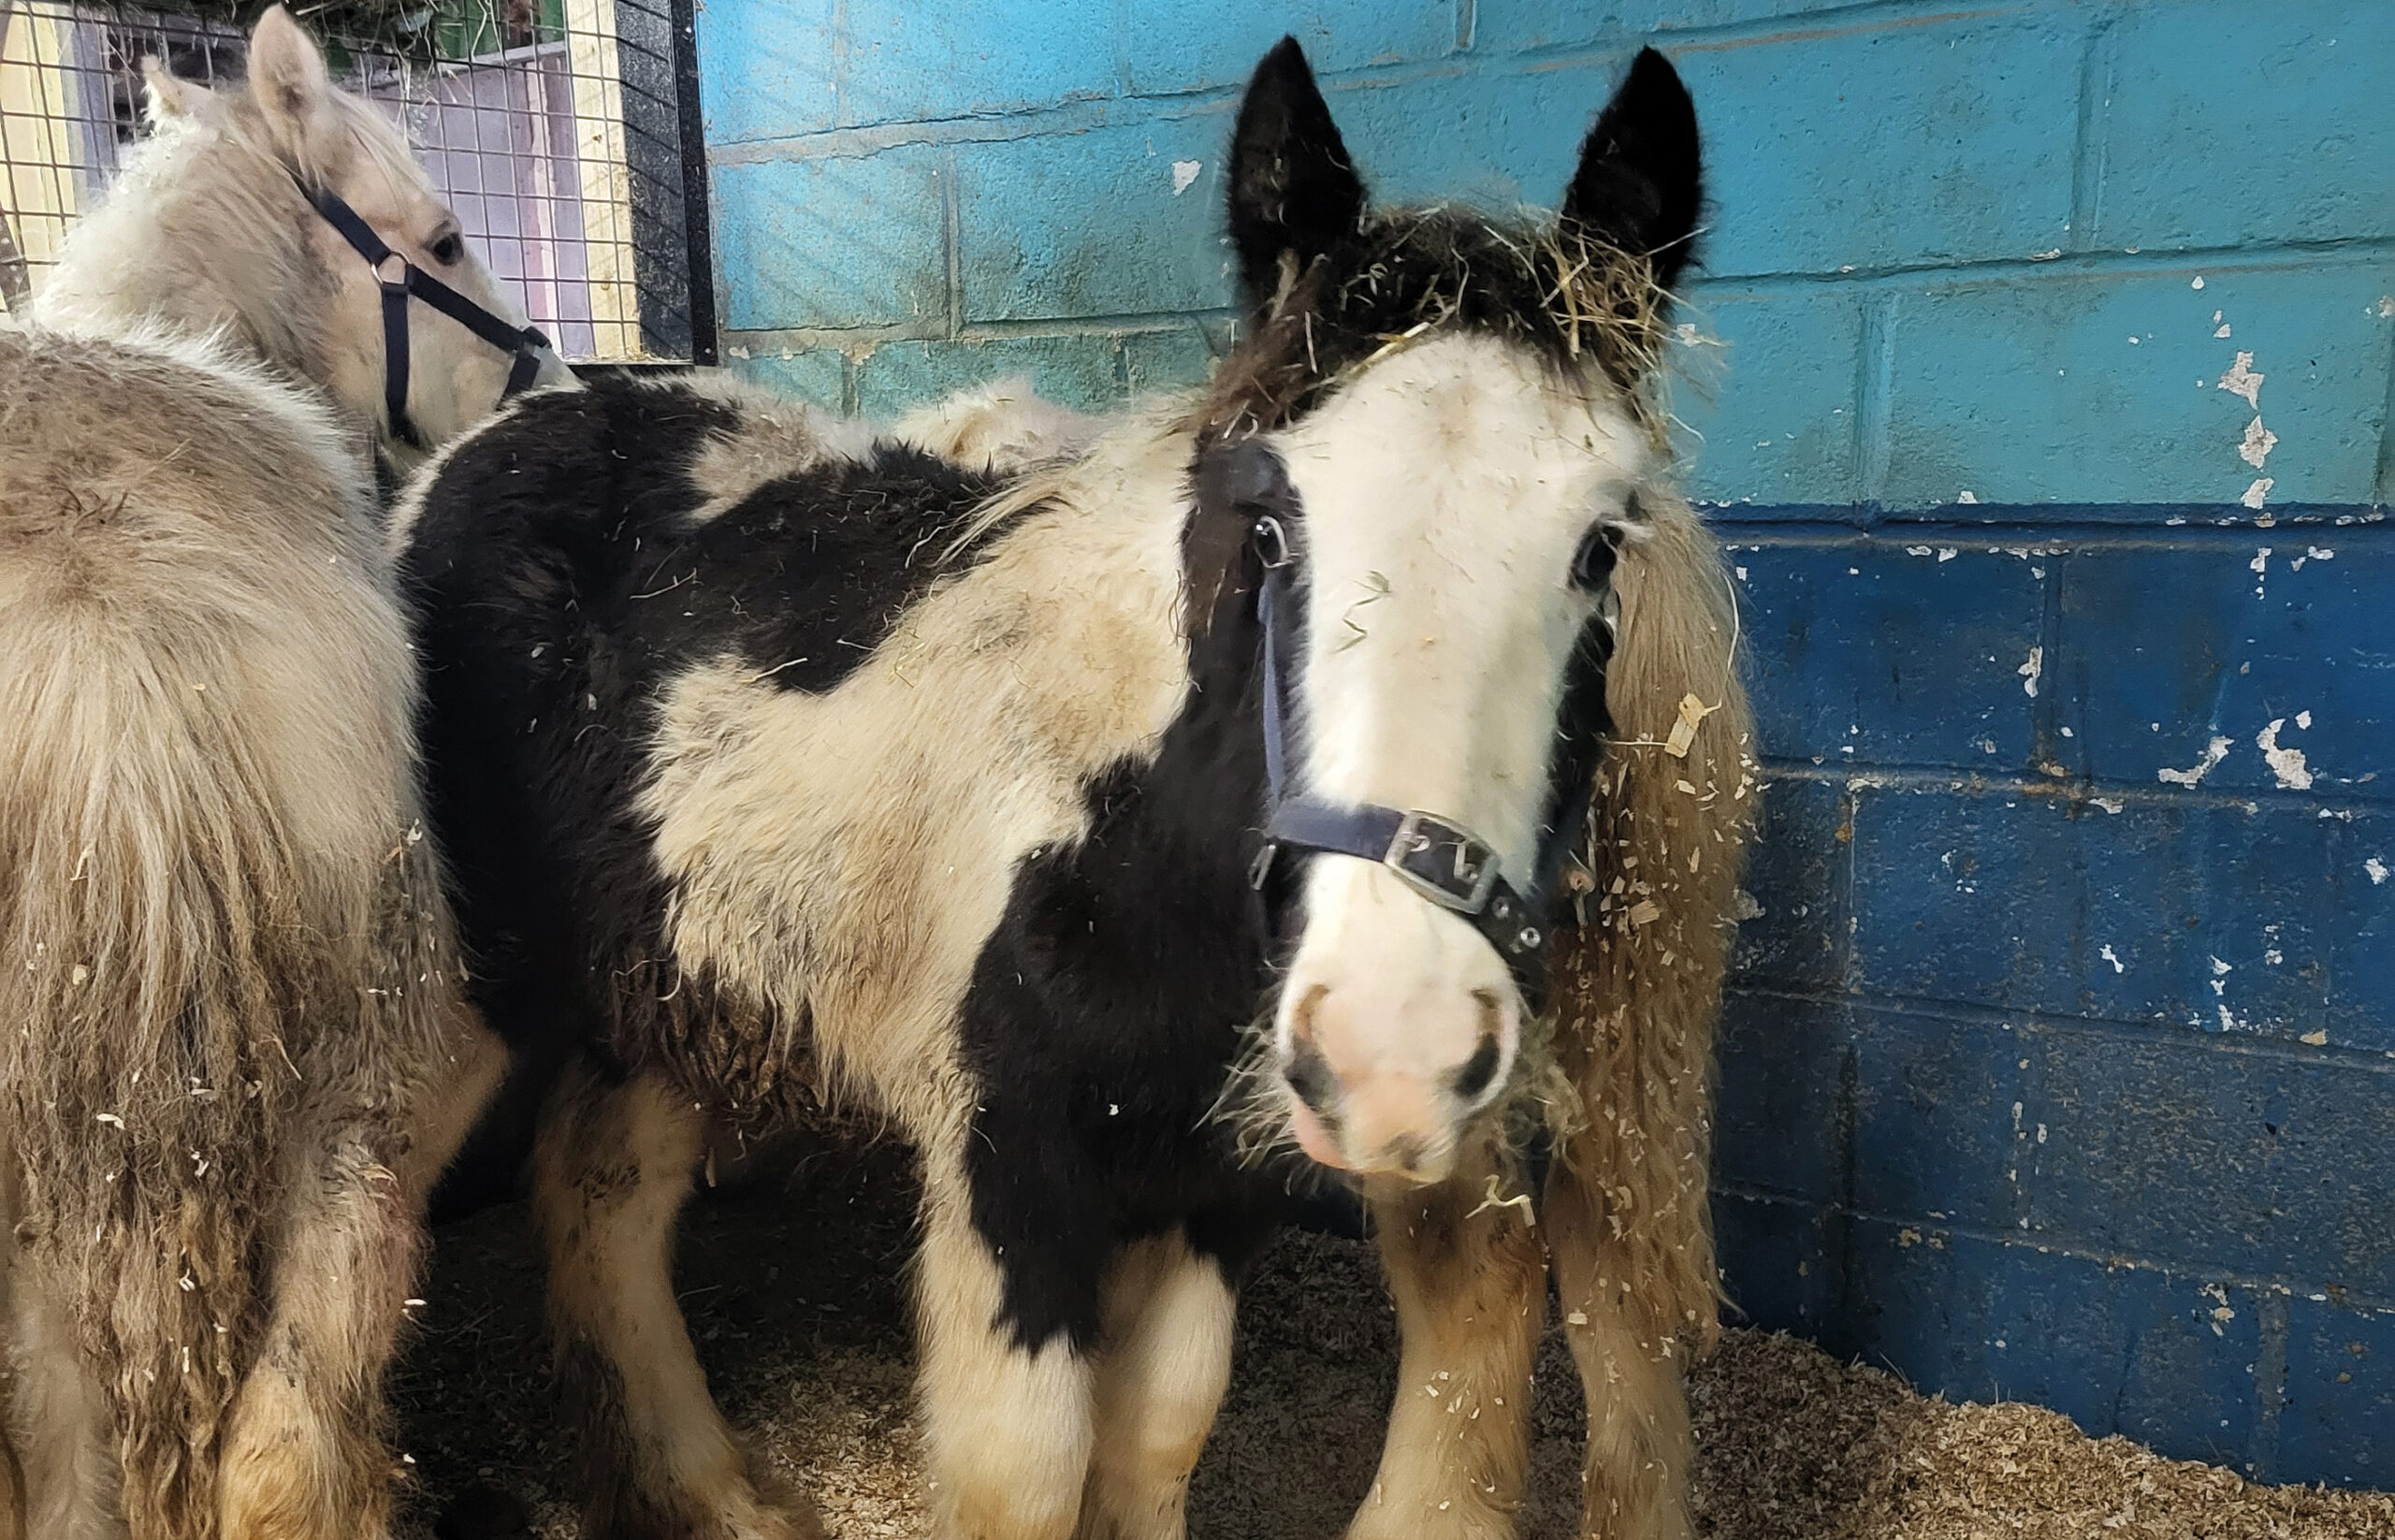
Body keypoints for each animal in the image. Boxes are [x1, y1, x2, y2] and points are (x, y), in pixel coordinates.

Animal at [400, 37, 1751, 1540]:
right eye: (1264, 526)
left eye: (1603, 543)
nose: (1390, 1044)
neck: (1129, 834)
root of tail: (510, 427)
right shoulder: (1013, 1167)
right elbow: (1031, 1469)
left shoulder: (1218, 1177)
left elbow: (1159, 1431)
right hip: (463, 991)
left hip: (675, 985)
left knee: (602, 1196)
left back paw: (714, 1495)